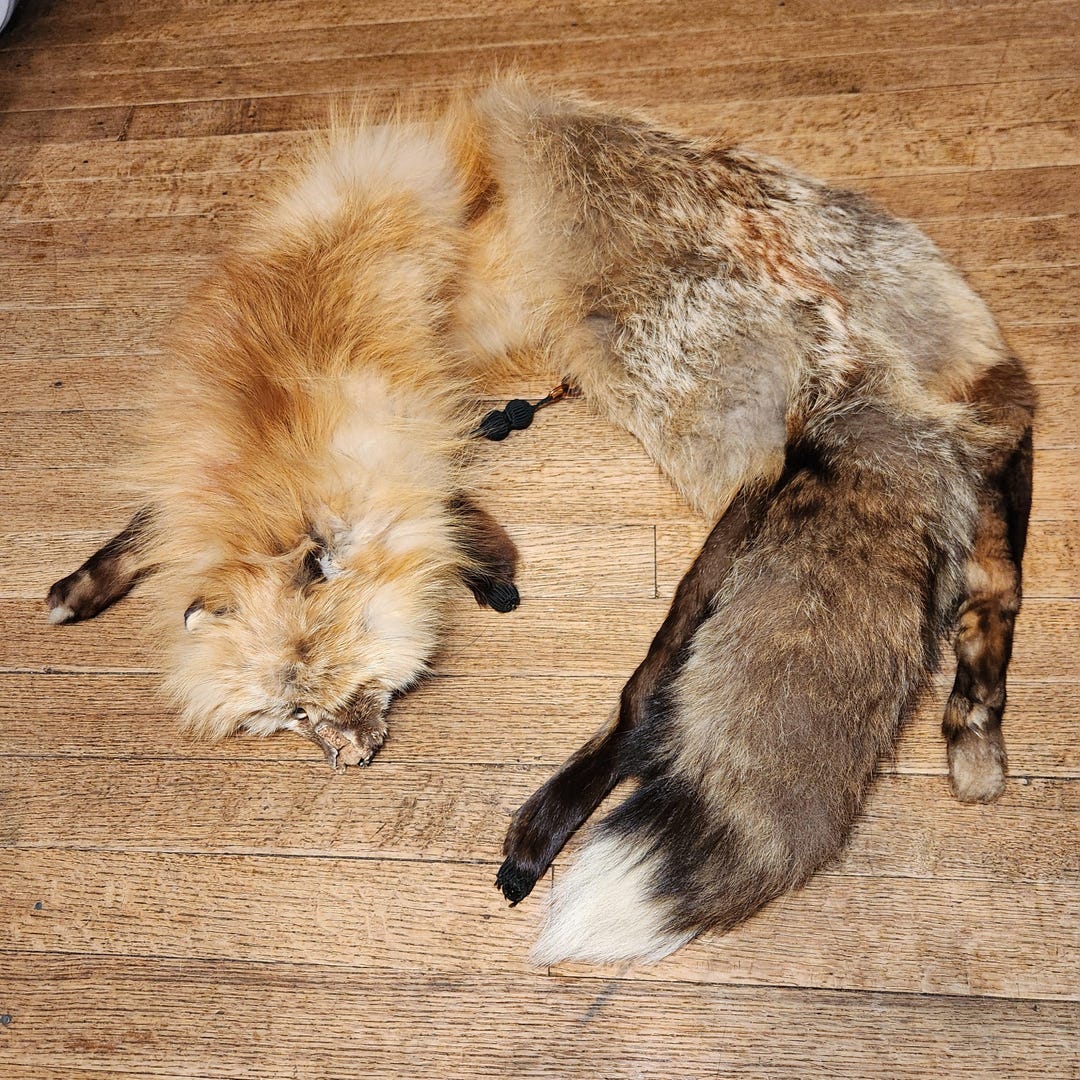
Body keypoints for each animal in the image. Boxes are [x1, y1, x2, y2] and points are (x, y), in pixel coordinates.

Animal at [45, 120, 522, 768]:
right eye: (294, 714)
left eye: (344, 682)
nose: (352, 761)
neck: (269, 491)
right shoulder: (190, 488)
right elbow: (138, 534)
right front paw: (79, 590)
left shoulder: (405, 455)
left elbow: (452, 517)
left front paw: (491, 573)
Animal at [440, 80, 1035, 963]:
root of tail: (853, 365)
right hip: (979, 424)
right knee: (997, 585)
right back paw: (975, 736)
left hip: (730, 460)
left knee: (648, 689)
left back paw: (548, 822)